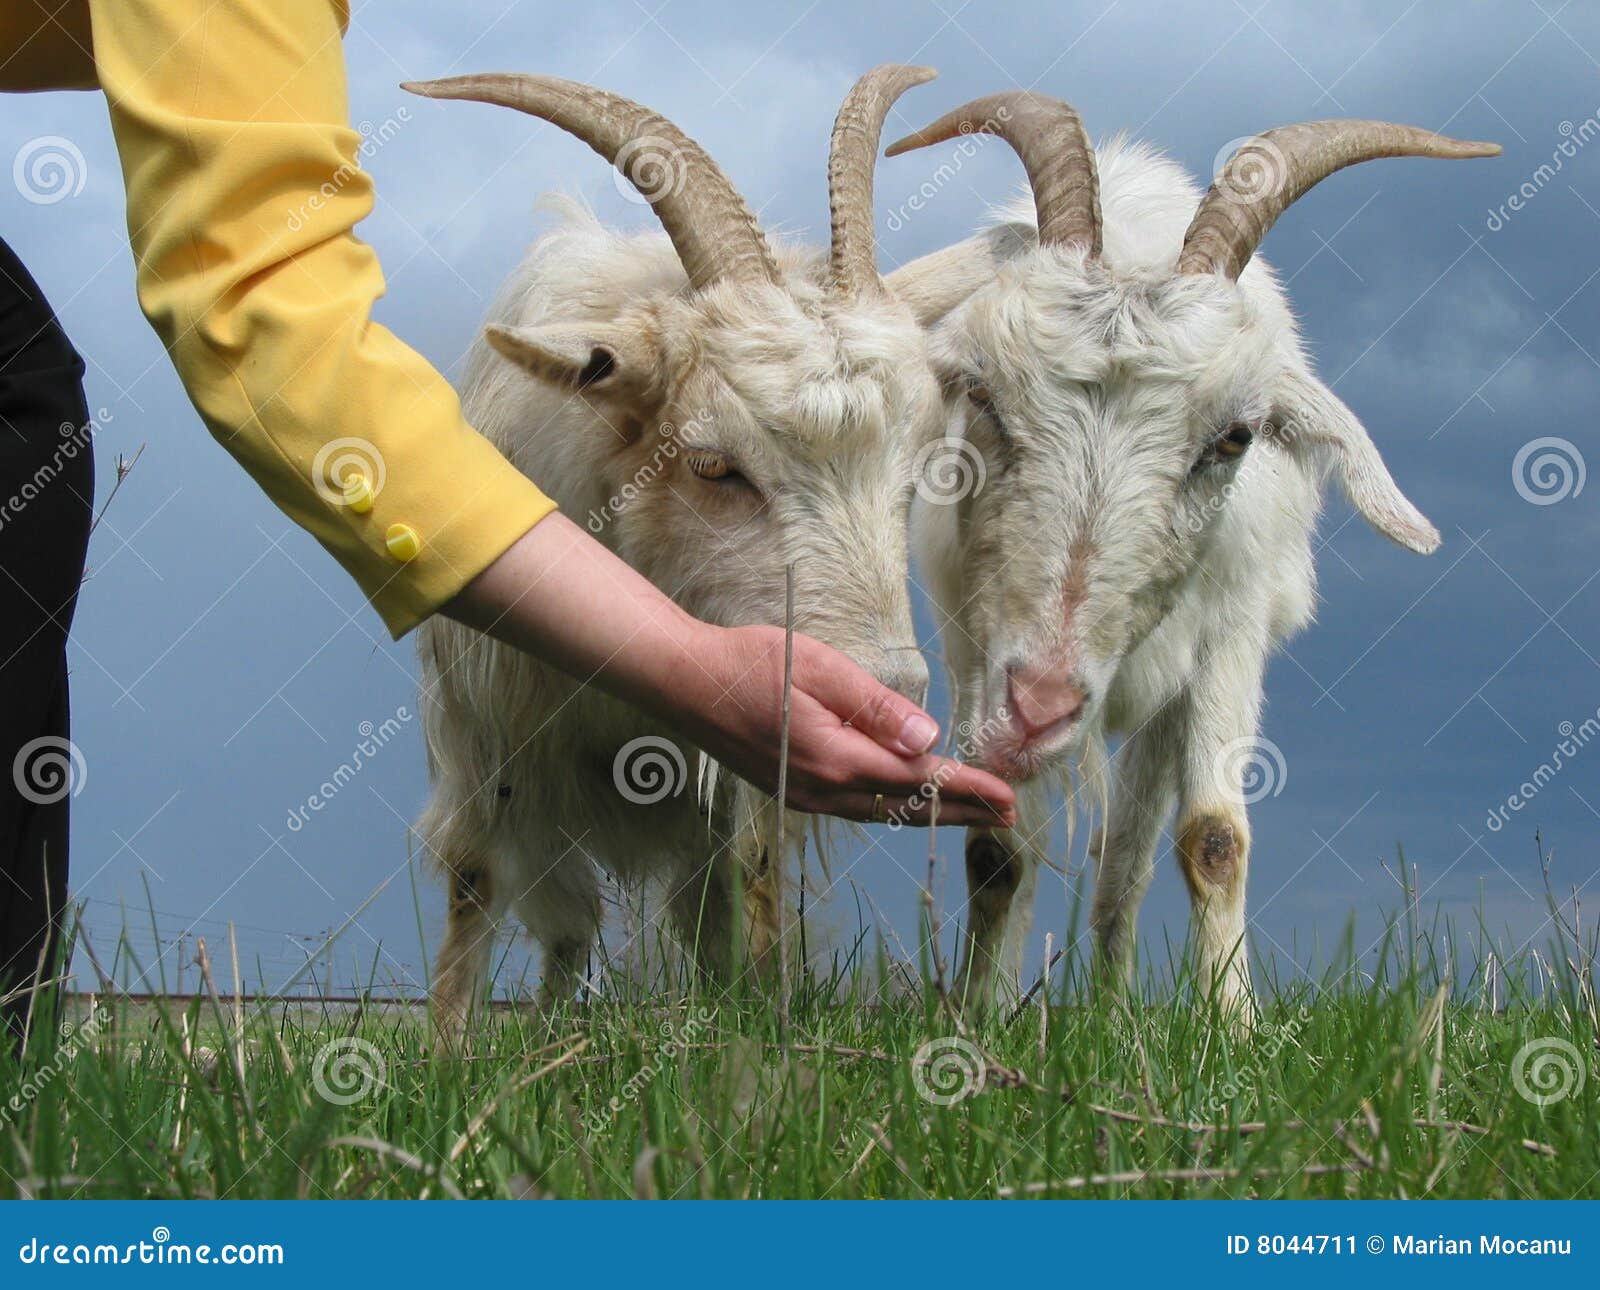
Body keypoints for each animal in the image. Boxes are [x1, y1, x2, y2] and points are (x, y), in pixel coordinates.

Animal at [887, 95, 1498, 1016]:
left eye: (1235, 437)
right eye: (980, 392)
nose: (1042, 705)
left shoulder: (1230, 632)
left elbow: (1212, 837)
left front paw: (1230, 1026)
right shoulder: (974, 641)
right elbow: (997, 848)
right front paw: (981, 1012)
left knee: (1126, 861)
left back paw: (1113, 1010)